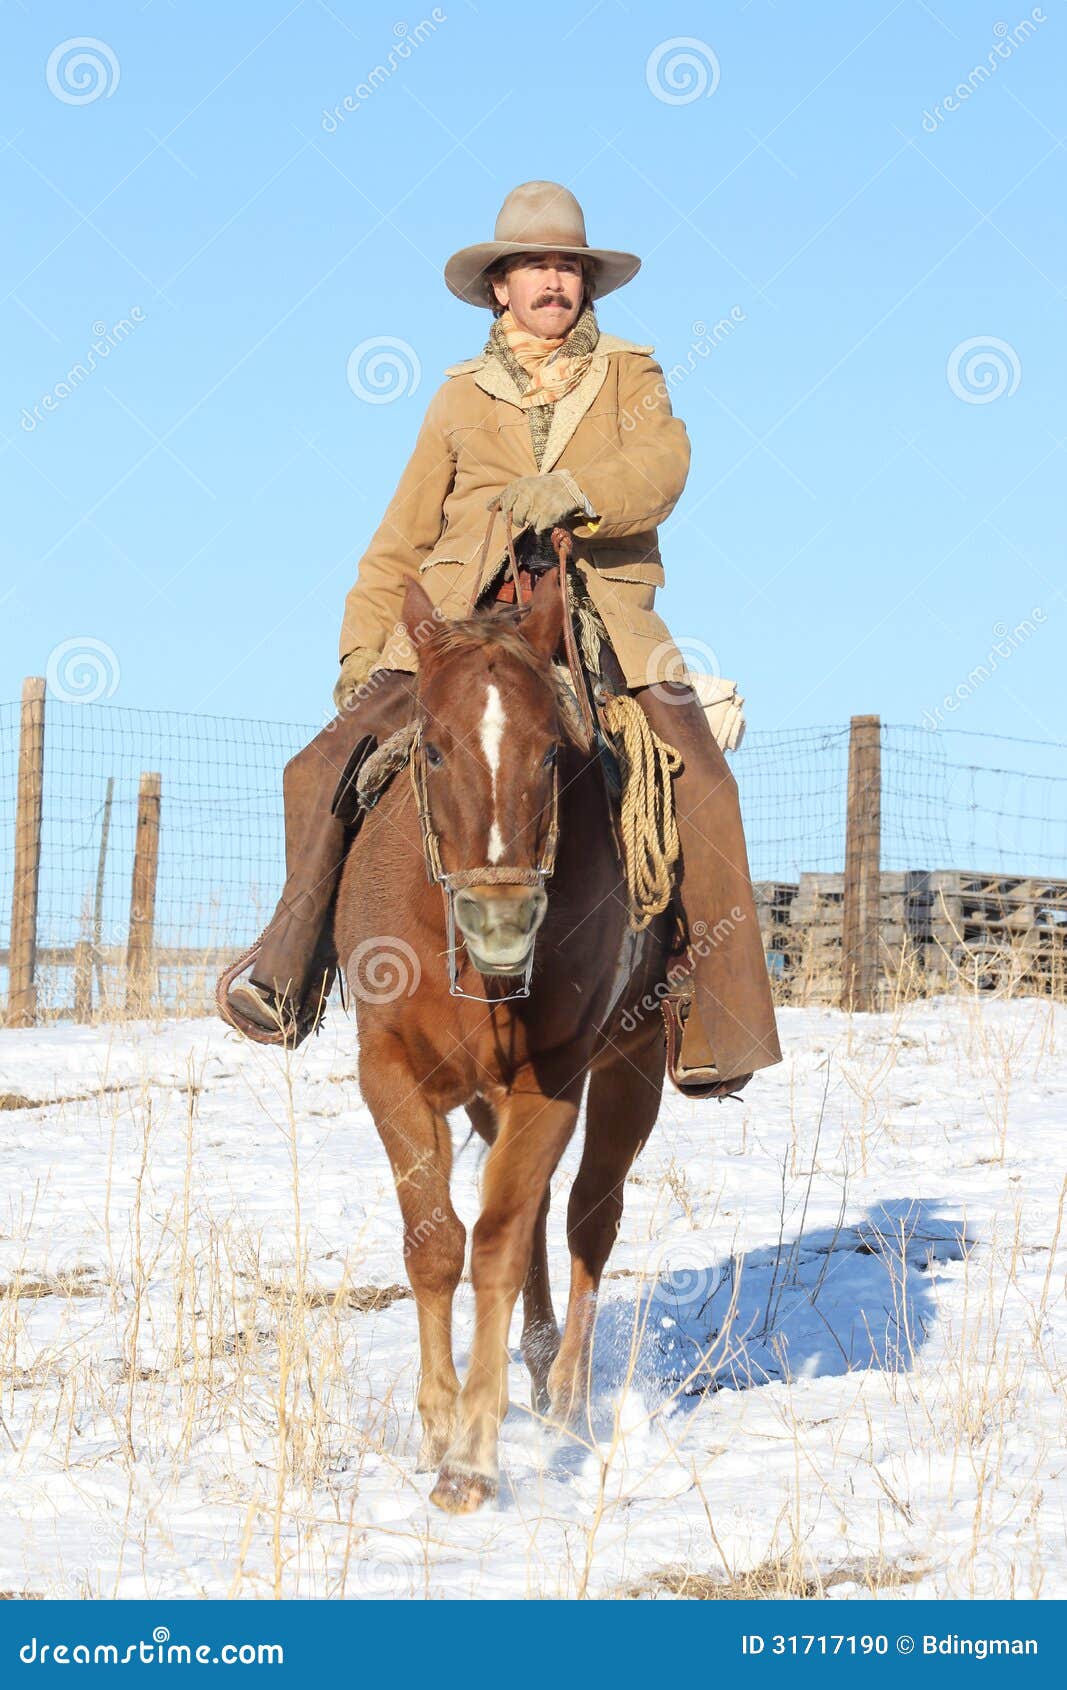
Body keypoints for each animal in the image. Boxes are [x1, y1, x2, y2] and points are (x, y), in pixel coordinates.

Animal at [332, 569, 672, 1514]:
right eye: (435, 750)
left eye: (551, 752)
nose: (501, 920)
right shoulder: (388, 1073)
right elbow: (436, 1243)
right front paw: (437, 1425)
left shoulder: (550, 1080)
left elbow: (493, 1242)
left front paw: (473, 1458)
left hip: (632, 1071)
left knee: (589, 1216)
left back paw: (567, 1398)